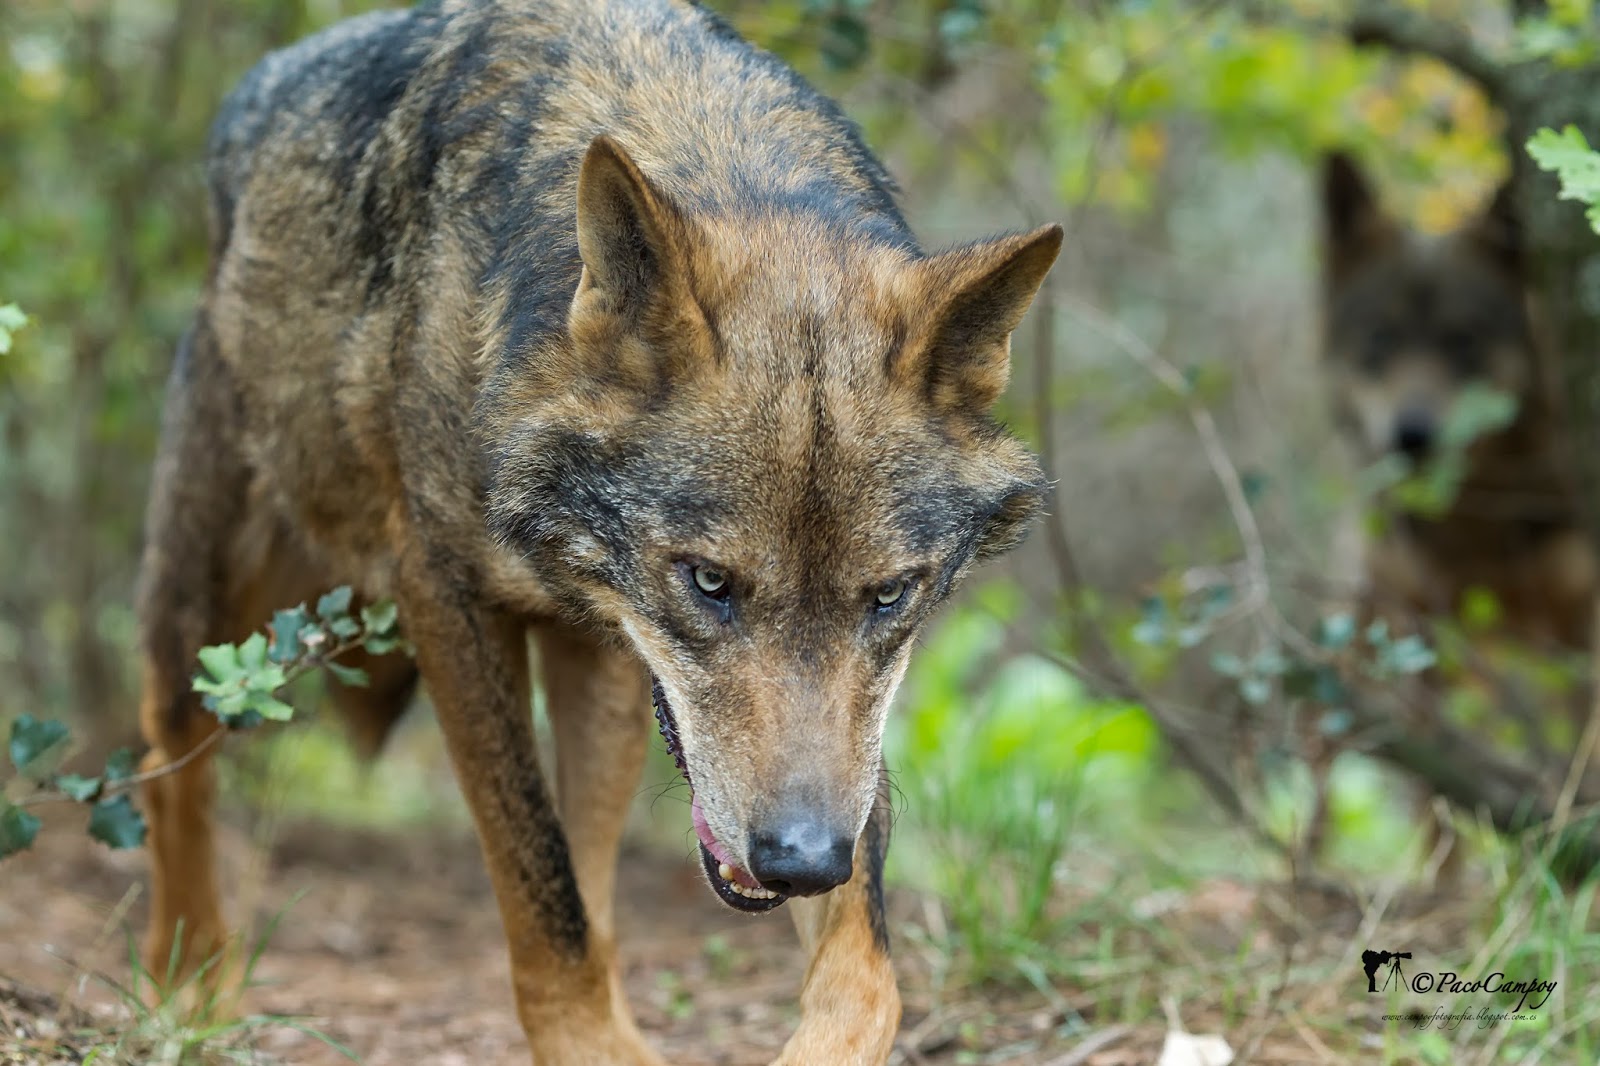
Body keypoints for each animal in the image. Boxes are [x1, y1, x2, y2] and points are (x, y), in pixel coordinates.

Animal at [133, 1, 1061, 1062]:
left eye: (890, 595)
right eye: (709, 582)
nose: (798, 862)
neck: (708, 149)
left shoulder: (840, 773)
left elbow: (865, 977)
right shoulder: (446, 600)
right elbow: (544, 901)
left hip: (609, 691)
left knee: (602, 886)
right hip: (216, 624)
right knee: (166, 767)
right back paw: (187, 988)